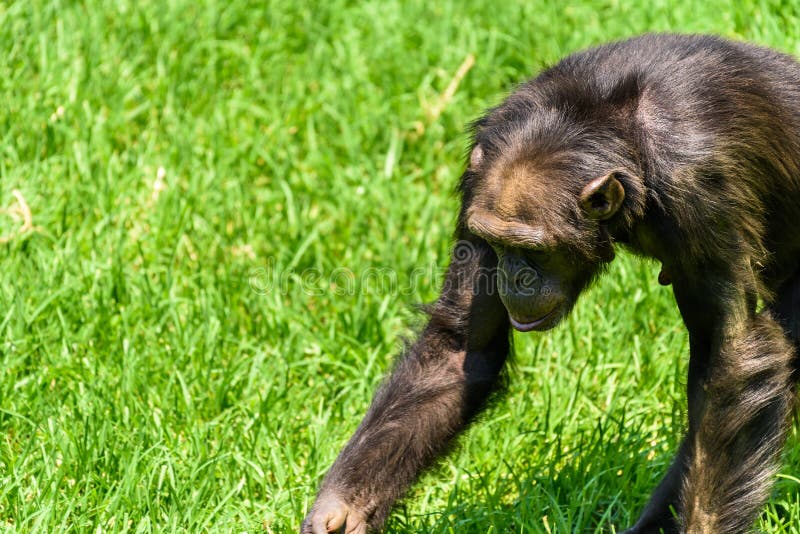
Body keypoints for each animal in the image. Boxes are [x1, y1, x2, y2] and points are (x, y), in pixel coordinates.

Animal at [301, 33, 800, 534]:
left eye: (535, 250)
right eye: (494, 243)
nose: (512, 275)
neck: (607, 127)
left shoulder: (701, 189)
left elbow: (733, 360)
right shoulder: (479, 178)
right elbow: (460, 349)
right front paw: (343, 507)